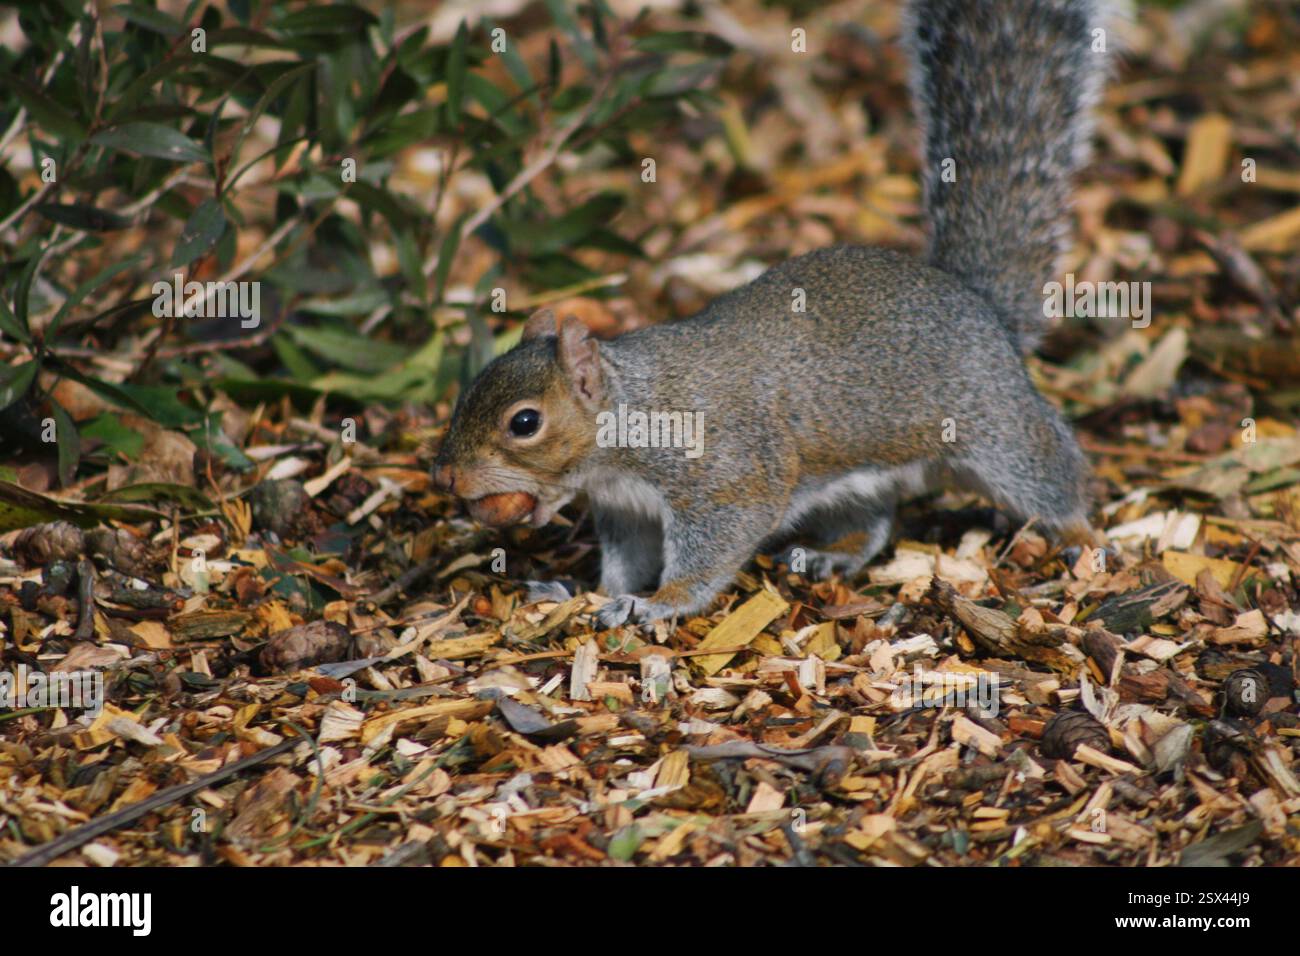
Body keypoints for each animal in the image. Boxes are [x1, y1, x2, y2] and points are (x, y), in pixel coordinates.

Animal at [433, 0, 1117, 627]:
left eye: (525, 423)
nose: (447, 478)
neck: (628, 420)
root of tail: (980, 303)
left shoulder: (724, 475)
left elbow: (717, 543)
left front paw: (660, 603)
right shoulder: (627, 510)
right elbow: (626, 559)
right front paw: (591, 594)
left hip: (992, 428)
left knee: (1052, 470)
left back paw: (1082, 540)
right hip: (861, 473)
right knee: (873, 520)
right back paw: (835, 554)